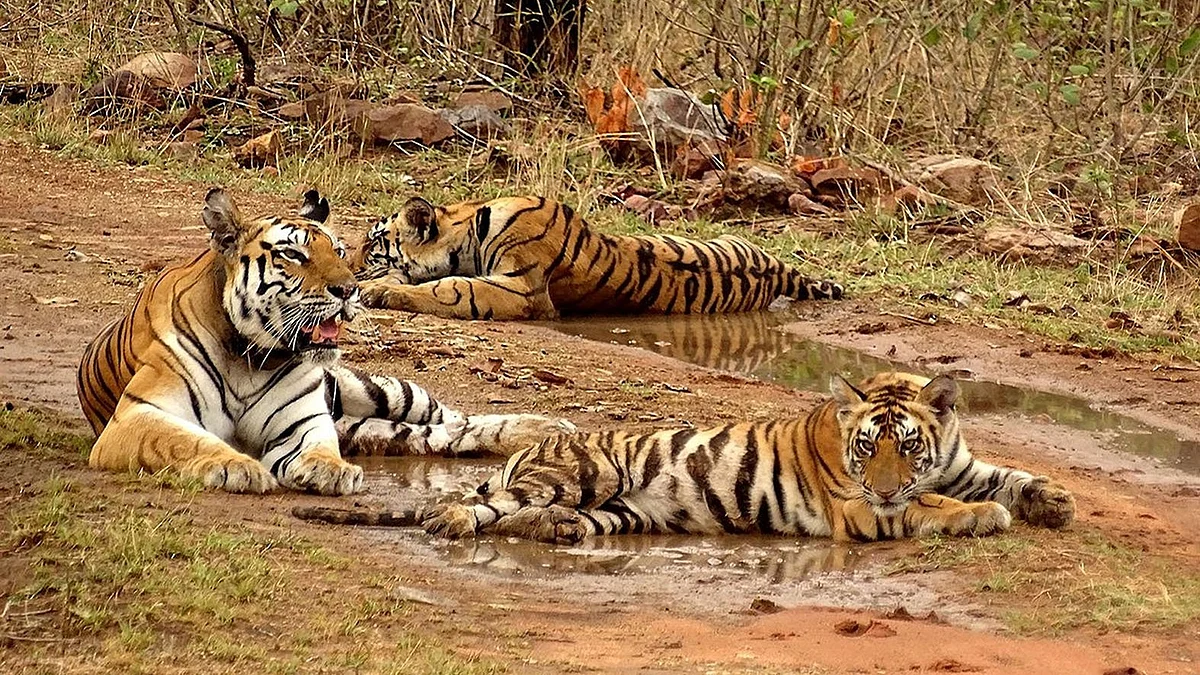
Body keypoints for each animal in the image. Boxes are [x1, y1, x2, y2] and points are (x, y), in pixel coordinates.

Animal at [77, 188, 572, 495]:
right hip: (366, 424)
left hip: (378, 390)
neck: (249, 357)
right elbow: (187, 441)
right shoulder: (138, 415)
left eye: (337, 250)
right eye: (293, 254)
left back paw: (548, 429)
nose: (350, 289)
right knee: (434, 436)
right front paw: (236, 465)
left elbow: (316, 445)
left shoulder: (304, 420)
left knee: (455, 419)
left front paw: (327, 470)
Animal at [353, 195, 844, 320]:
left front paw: (377, 290)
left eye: (374, 242)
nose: (350, 263)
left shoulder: (524, 289)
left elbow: (451, 288)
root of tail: (778, 269)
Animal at [422, 372, 1075, 543]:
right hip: (587, 472)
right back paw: (449, 520)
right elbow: (930, 504)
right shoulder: (859, 507)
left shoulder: (962, 467)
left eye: (910, 445)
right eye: (868, 447)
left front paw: (1054, 500)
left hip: (621, 511)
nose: (888, 487)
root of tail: (534, 443)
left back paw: (556, 530)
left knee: (522, 519)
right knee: (480, 507)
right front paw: (982, 516)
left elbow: (1008, 476)